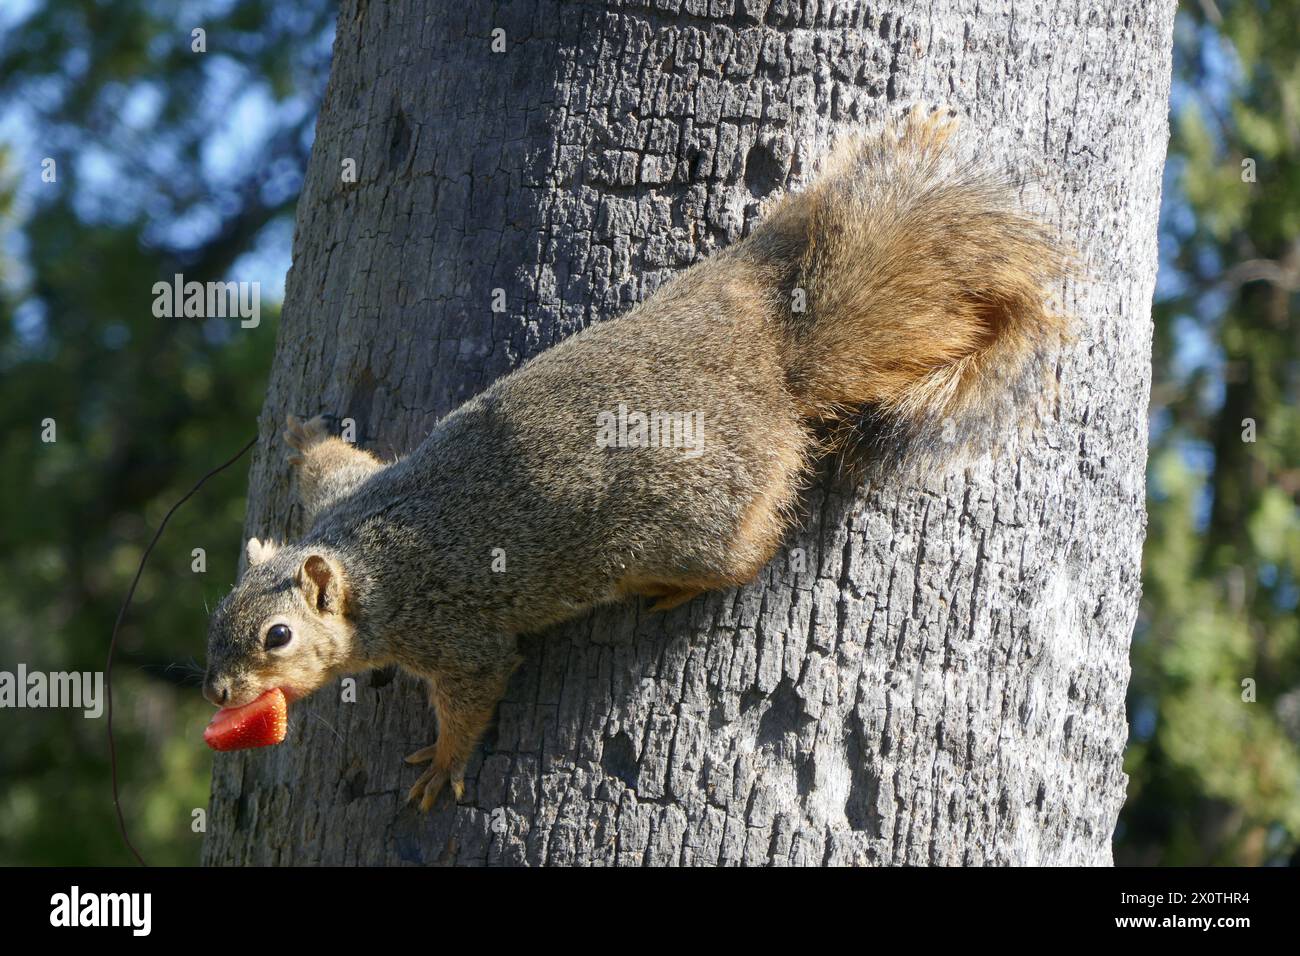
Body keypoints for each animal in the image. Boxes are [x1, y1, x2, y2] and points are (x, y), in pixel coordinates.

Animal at [203, 107, 1067, 810]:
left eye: (277, 637)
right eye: (219, 615)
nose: (218, 689)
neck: (364, 560)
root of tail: (773, 373)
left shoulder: (455, 631)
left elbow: (476, 692)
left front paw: (442, 765)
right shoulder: (345, 492)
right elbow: (331, 460)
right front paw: (297, 434)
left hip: (689, 517)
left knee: (749, 551)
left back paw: (676, 586)